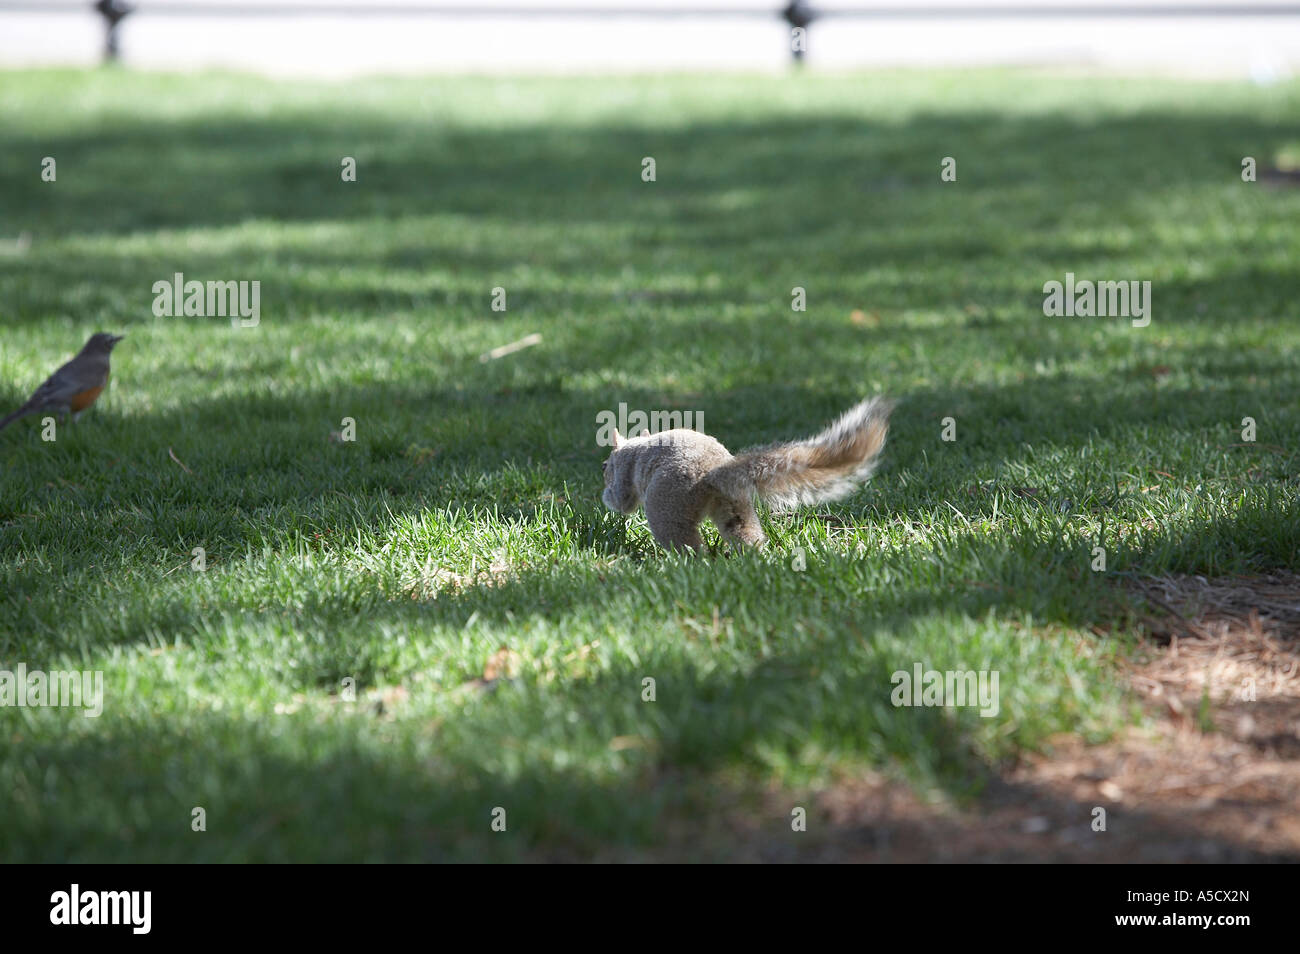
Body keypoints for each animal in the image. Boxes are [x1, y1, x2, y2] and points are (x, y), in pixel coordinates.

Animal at [600, 397, 893, 553]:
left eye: (605, 466)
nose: (604, 471)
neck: (634, 446)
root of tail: (713, 473)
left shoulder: (625, 474)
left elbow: (622, 502)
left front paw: (605, 496)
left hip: (667, 503)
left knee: (682, 539)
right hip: (734, 505)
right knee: (743, 532)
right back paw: (757, 557)